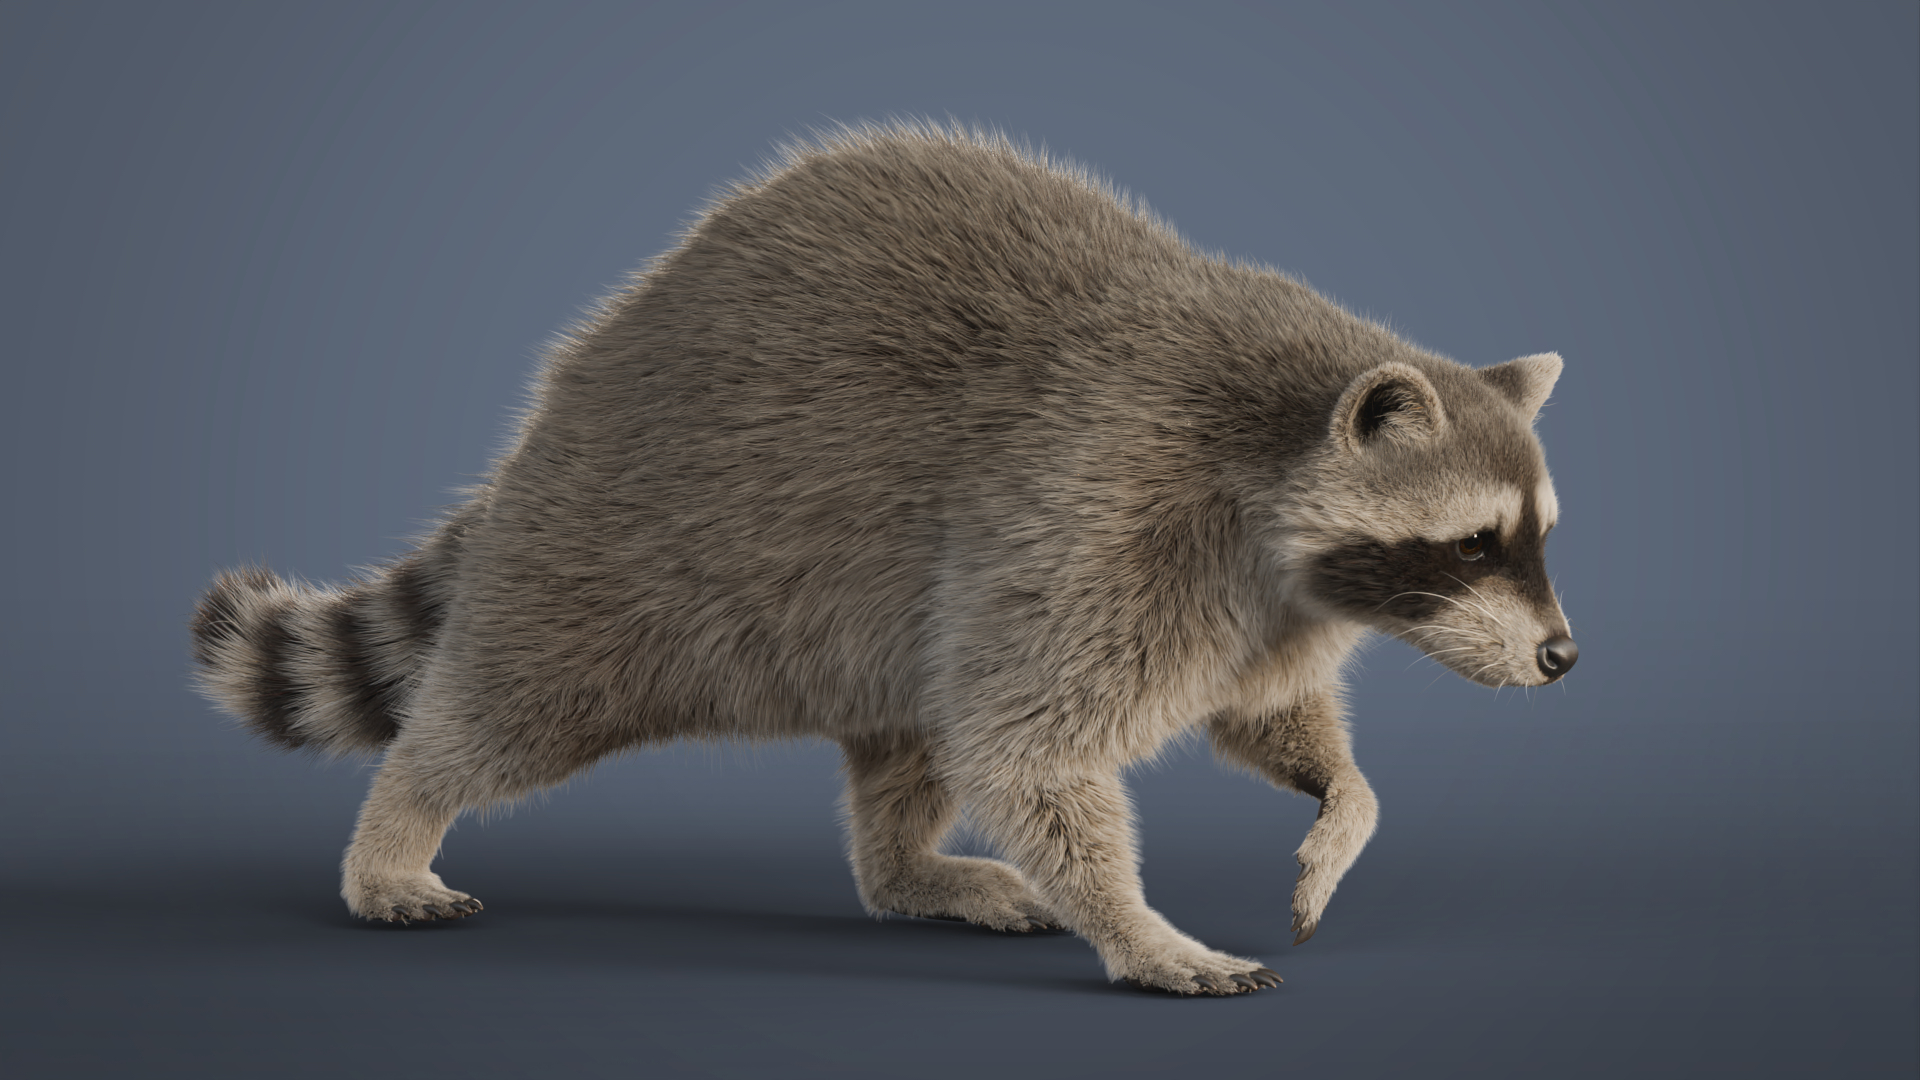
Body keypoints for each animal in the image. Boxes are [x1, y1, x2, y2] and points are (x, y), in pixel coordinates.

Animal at [192, 124, 1575, 996]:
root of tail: (585, 371)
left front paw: (1341, 806)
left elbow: (1270, 719)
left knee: (916, 732)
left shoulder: (1256, 602)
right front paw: (1140, 931)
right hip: (640, 540)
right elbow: (1030, 751)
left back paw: (910, 870)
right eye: (1473, 541)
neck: (1277, 447)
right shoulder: (1102, 509)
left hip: (890, 601)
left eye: (1542, 535)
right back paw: (400, 822)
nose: (1564, 657)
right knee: (517, 700)